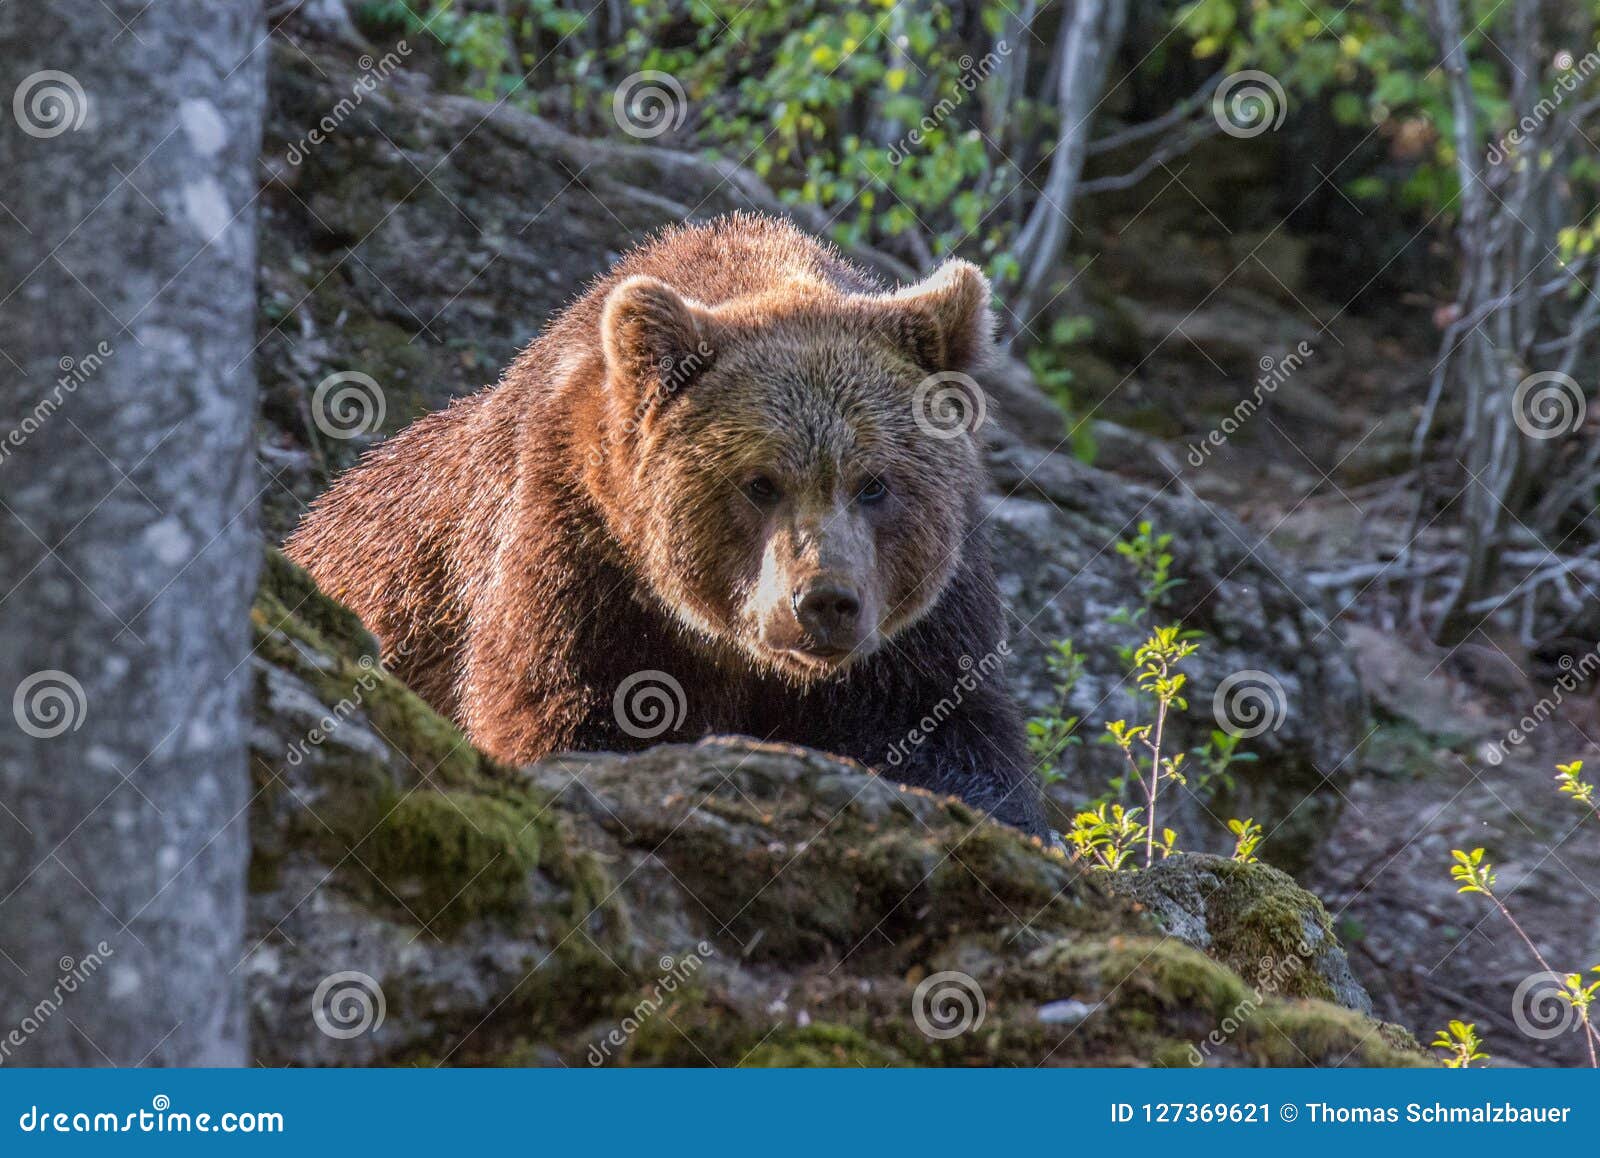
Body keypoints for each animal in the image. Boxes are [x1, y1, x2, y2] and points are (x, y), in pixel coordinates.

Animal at [285, 213, 1046, 837]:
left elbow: (948, 739)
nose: (824, 601)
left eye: (875, 483)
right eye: (759, 482)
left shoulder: (926, 627)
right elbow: (568, 717)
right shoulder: (579, 558)